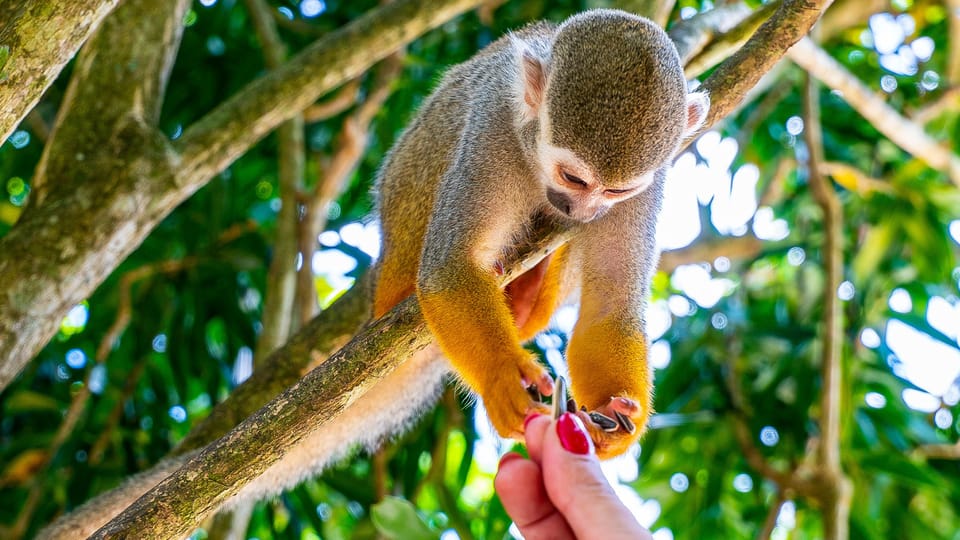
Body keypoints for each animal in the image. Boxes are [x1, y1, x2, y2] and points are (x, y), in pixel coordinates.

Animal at [39, 10, 707, 537]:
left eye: (615, 190)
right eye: (573, 176)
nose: (581, 209)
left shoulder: (652, 183)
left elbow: (611, 308)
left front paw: (617, 421)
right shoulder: (492, 129)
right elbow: (447, 270)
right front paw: (503, 379)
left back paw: (528, 297)